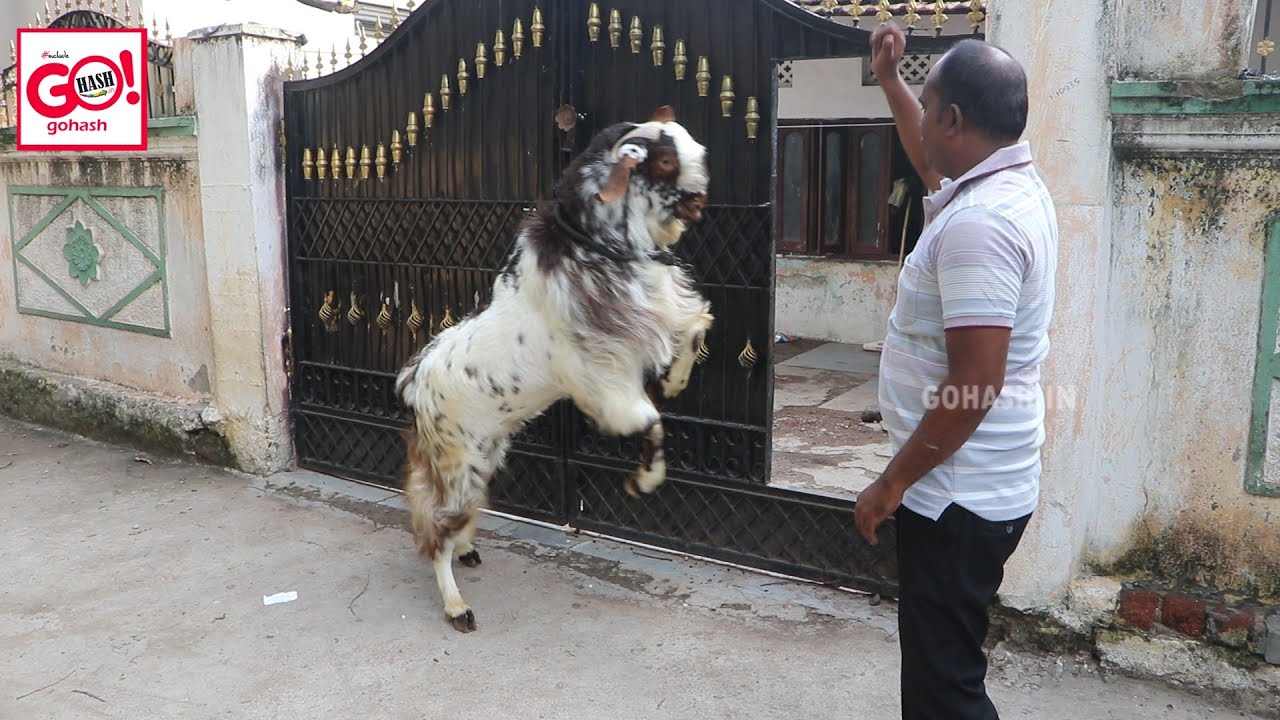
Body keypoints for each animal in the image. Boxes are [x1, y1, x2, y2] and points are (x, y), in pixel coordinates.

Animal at [394, 106, 714, 632]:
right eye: (665, 160)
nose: (701, 198)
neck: (592, 248)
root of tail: (414, 386)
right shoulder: (605, 384)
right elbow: (652, 423)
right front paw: (643, 482)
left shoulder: (659, 321)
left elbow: (696, 327)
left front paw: (676, 380)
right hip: (460, 465)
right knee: (436, 528)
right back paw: (457, 605)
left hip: (485, 455)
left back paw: (468, 551)